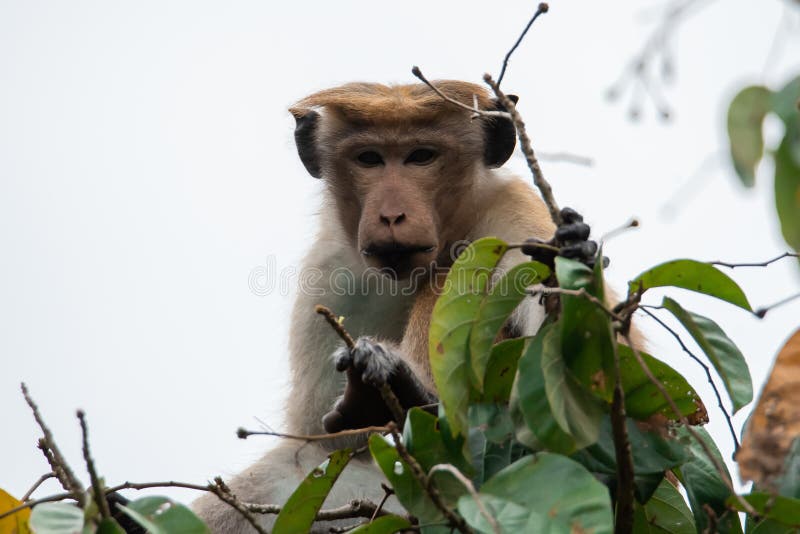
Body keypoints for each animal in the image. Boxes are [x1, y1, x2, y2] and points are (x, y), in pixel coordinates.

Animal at [192, 80, 600, 533]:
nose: (391, 215)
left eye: (421, 156)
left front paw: (569, 264)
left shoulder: (516, 214)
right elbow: (322, 444)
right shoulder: (332, 272)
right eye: (369, 159)